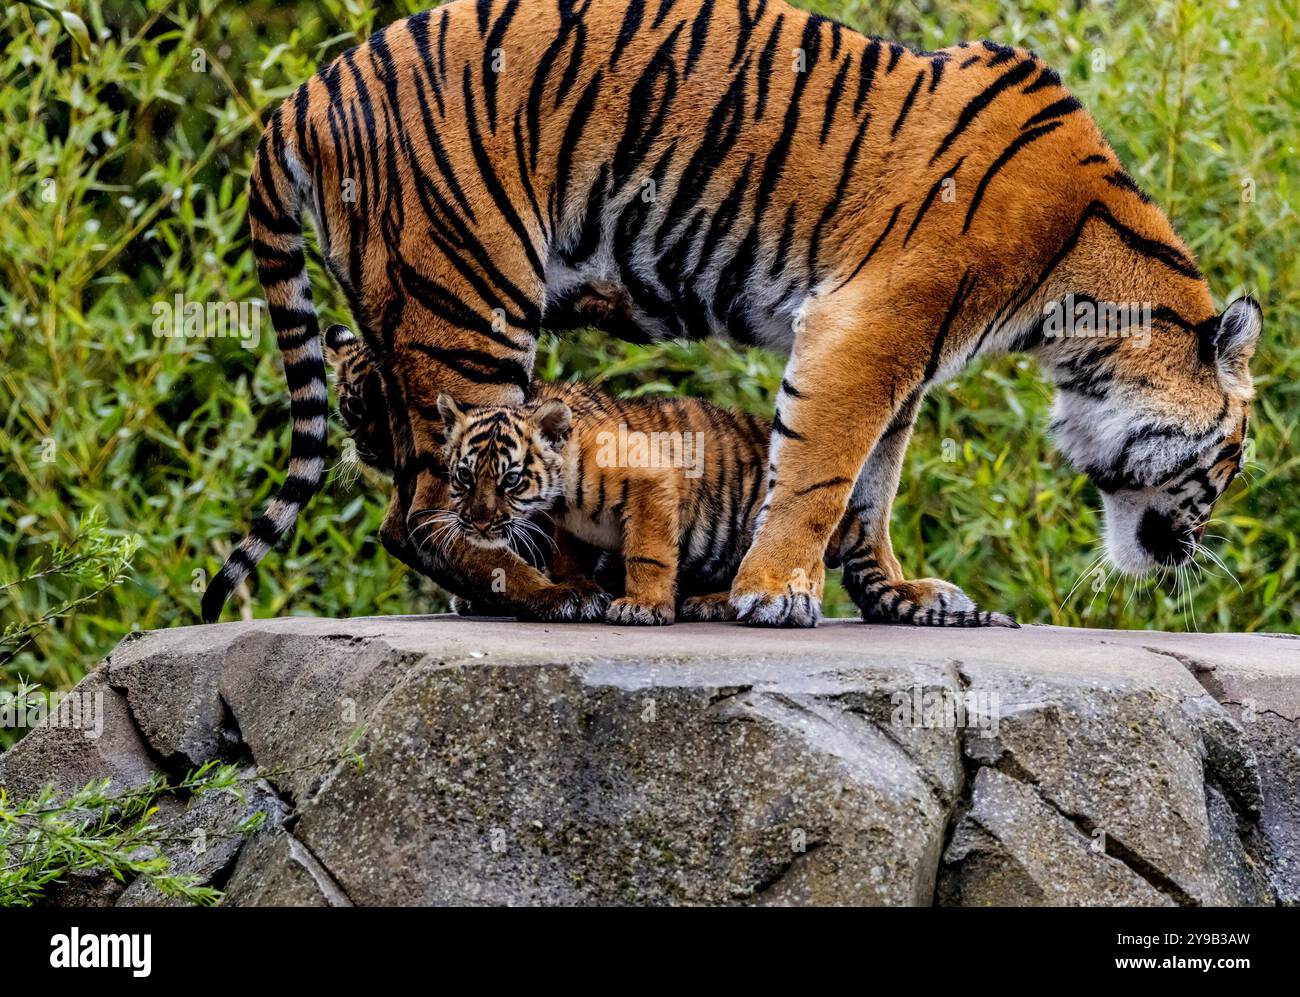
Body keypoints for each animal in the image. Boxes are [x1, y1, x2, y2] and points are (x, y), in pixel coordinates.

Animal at [201, 0, 1262, 630]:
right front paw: (774, 593)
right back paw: (562, 595)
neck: (1082, 309)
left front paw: (903, 597)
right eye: (1232, 460)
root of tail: (308, 88)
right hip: (466, 299)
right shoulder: (866, 326)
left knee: (401, 489)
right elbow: (821, 472)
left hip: (405, 323)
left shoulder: (911, 354)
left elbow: (873, 485)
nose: (1195, 553)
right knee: (425, 511)